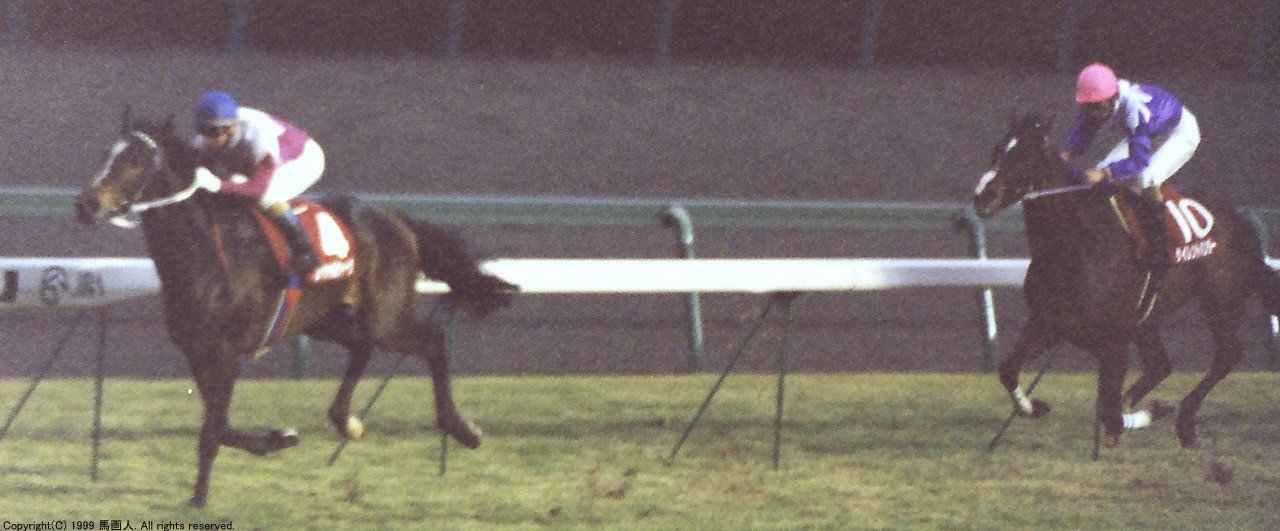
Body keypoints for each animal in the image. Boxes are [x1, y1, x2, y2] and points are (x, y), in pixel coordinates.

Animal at [73, 111, 517, 507]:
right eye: (106, 154)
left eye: (134, 159)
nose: (85, 205)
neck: (207, 254)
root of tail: (397, 219)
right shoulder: (198, 353)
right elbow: (222, 427)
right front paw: (278, 439)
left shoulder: (226, 353)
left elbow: (214, 429)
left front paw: (199, 498)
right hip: (326, 318)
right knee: (362, 346)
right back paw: (347, 421)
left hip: (387, 315)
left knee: (432, 341)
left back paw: (461, 429)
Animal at [973, 113, 1280, 449]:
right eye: (996, 151)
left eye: (1024, 156)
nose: (983, 196)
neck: (1076, 248)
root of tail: (1244, 225)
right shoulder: (1047, 325)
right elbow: (1007, 370)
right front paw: (1034, 407)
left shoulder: (1114, 342)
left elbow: (1109, 412)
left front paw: (1155, 411)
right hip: (1148, 317)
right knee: (1160, 364)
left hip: (1221, 298)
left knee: (1227, 354)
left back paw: (1184, 421)